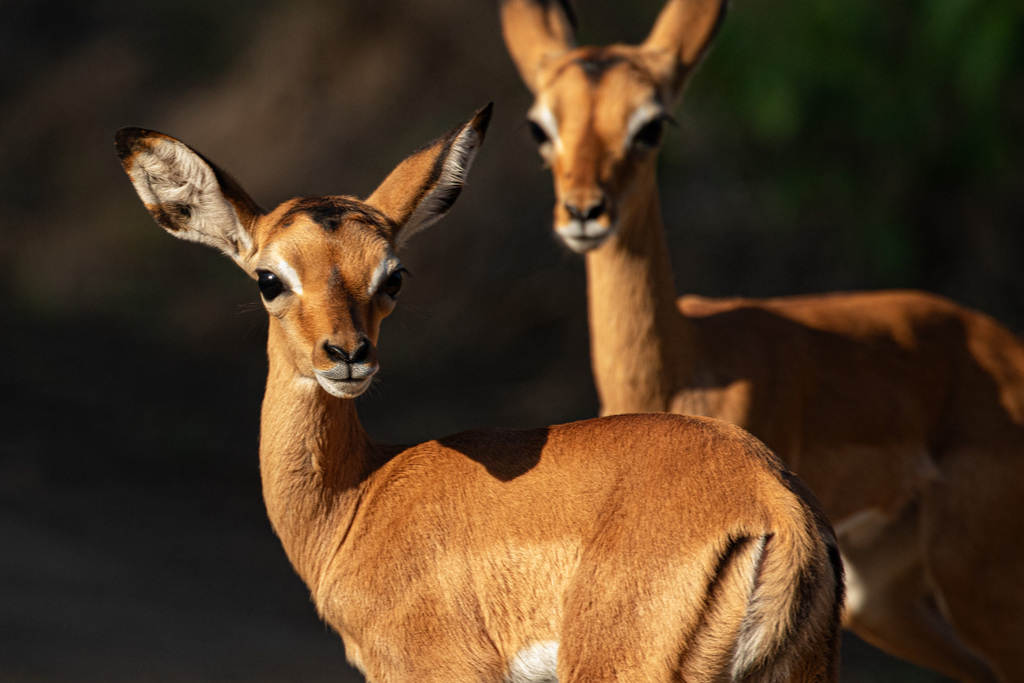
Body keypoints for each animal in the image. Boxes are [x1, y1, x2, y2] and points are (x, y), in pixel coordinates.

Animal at [501, 0, 1024, 681]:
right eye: (539, 125)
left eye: (651, 124)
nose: (585, 211)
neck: (687, 367)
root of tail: (1007, 351)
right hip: (880, 599)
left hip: (978, 583)